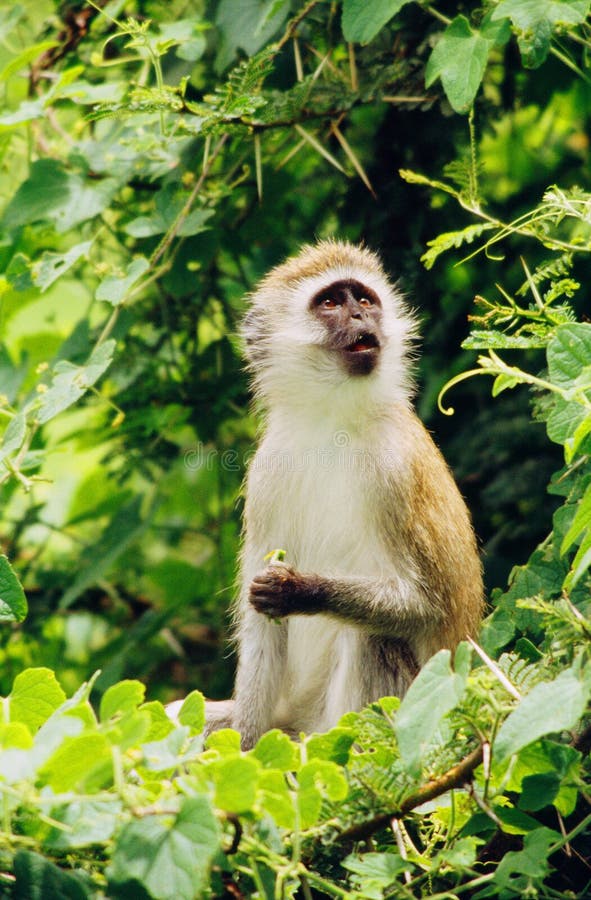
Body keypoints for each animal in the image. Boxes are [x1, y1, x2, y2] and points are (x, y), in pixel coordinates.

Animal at [203, 240, 483, 750]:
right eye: (332, 302)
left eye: (366, 300)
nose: (361, 317)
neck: (331, 421)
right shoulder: (266, 472)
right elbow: (260, 629)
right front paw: (246, 752)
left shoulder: (395, 468)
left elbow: (426, 605)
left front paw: (299, 588)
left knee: (372, 636)